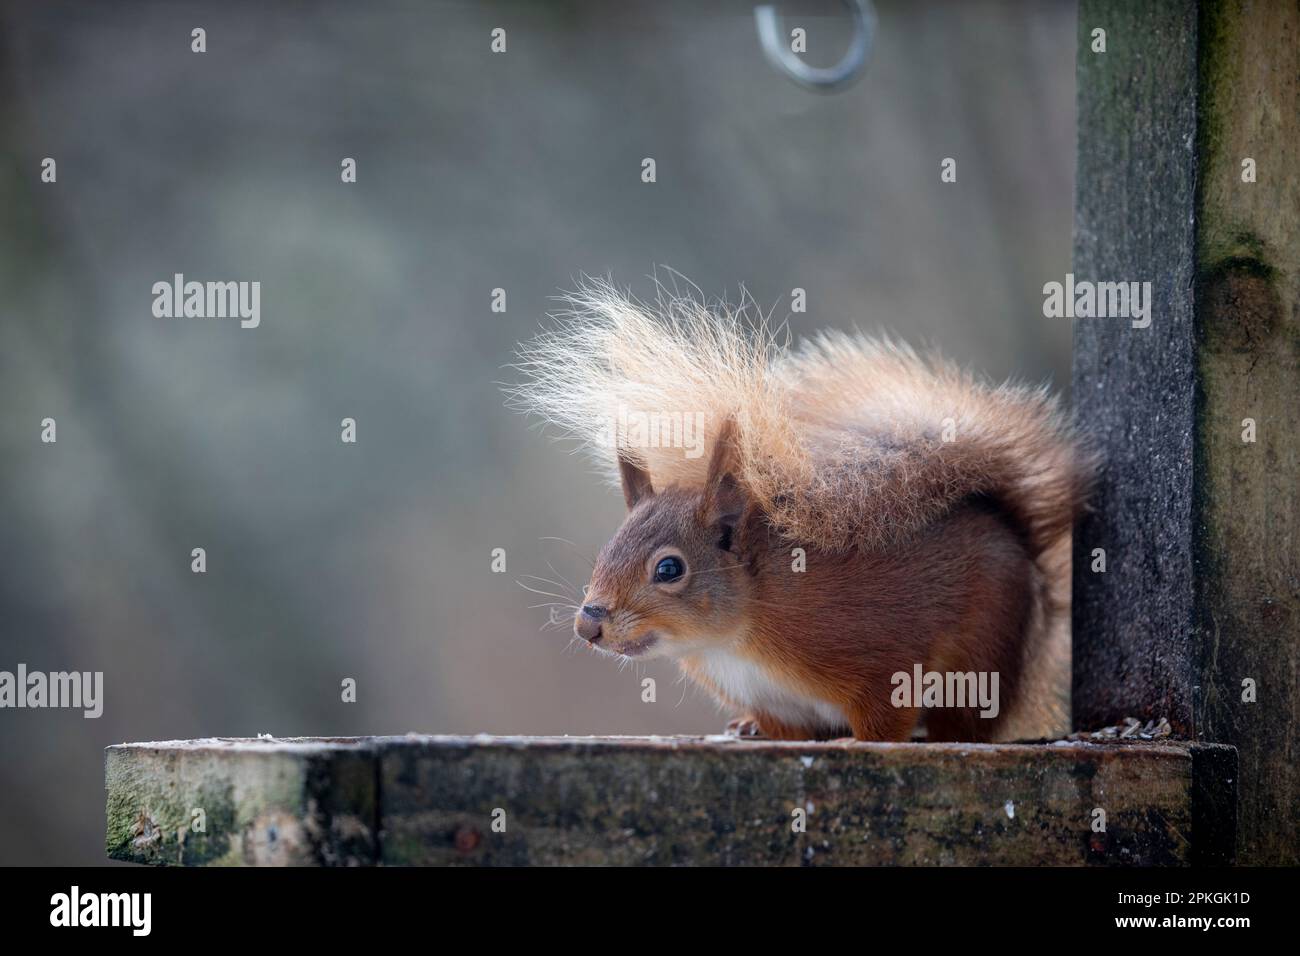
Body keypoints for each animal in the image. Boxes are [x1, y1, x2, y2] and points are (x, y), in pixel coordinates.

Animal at [508, 280, 1094, 742]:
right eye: (605, 549)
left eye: (669, 569)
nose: (588, 625)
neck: (734, 640)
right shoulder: (776, 705)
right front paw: (751, 728)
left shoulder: (880, 660)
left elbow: (883, 723)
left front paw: (857, 744)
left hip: (982, 662)